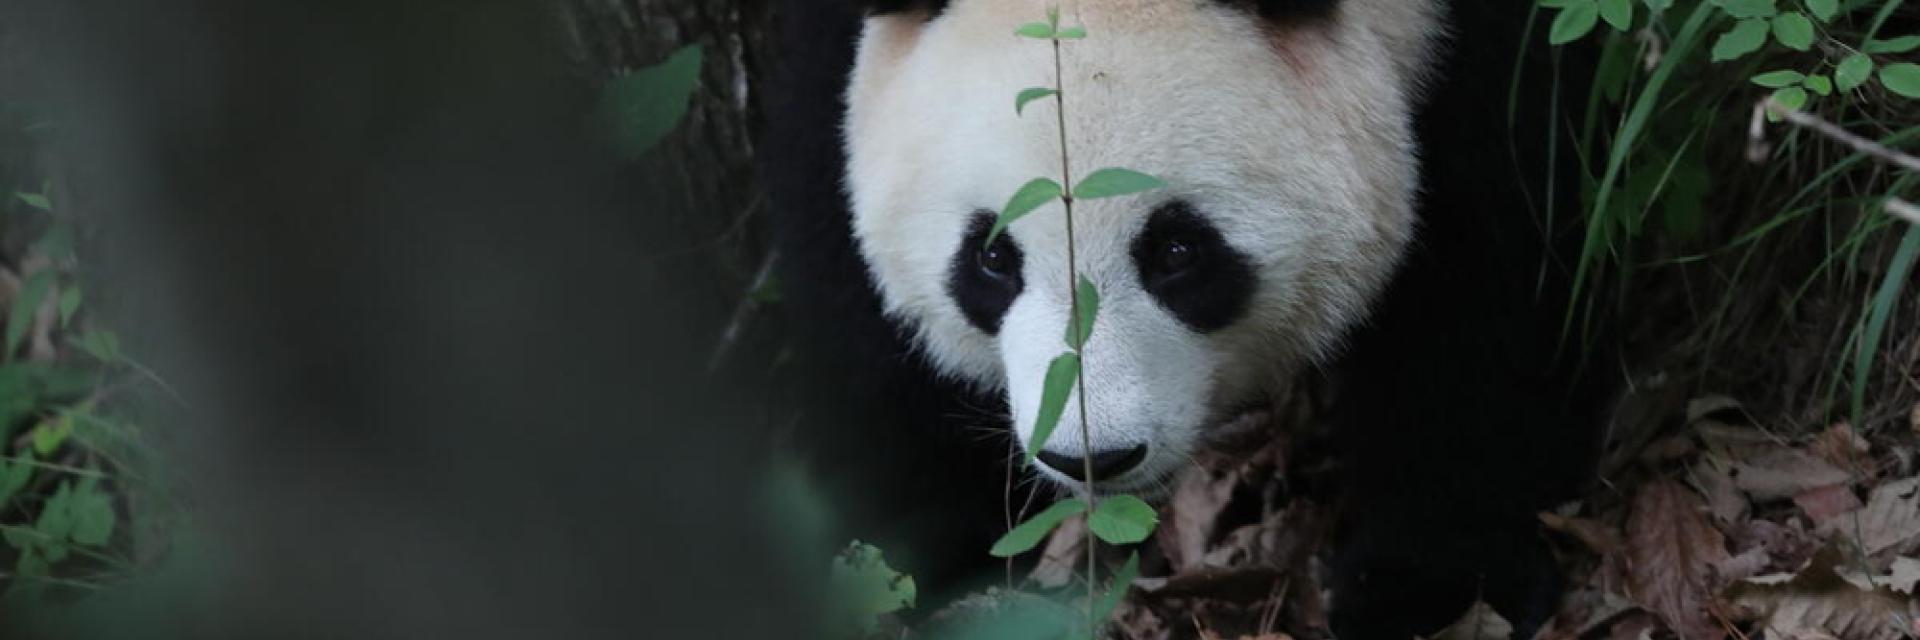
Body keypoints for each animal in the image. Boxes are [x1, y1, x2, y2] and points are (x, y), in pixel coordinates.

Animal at [764, 0, 1613, 637]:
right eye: (993, 257)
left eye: (1177, 250)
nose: (1093, 458)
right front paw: (900, 562)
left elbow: (1493, 267)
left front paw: (1432, 587)